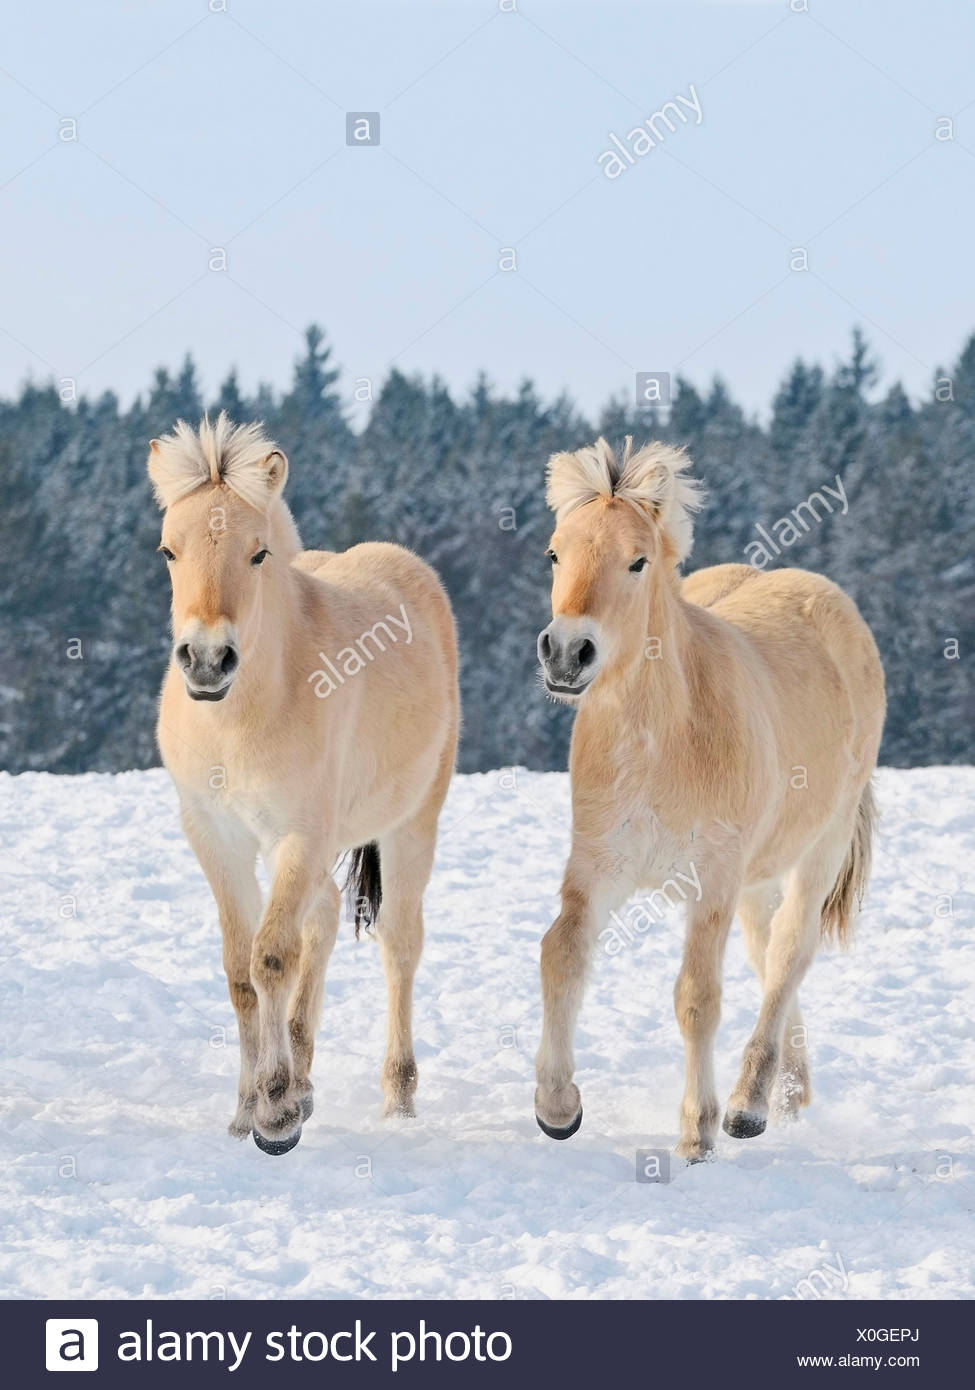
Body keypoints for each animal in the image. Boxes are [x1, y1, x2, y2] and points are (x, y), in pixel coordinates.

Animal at [148, 414, 459, 1154]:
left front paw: (276, 1115)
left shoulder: (297, 834)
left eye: (258, 553)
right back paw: (305, 1075)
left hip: (411, 825)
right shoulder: (217, 838)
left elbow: (270, 960)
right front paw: (249, 1108)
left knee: (398, 944)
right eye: (168, 550)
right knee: (322, 922)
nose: (208, 661)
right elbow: (240, 969)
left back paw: (397, 1099)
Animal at [534, 436, 885, 1160]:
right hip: (757, 876)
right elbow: (561, 955)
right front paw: (557, 1106)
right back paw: (788, 1094)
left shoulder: (711, 880)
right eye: (555, 553)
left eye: (637, 560)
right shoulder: (598, 868)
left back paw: (749, 1106)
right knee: (766, 952)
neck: (658, 743)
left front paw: (697, 1130)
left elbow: (697, 996)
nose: (566, 653)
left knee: (790, 951)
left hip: (820, 847)